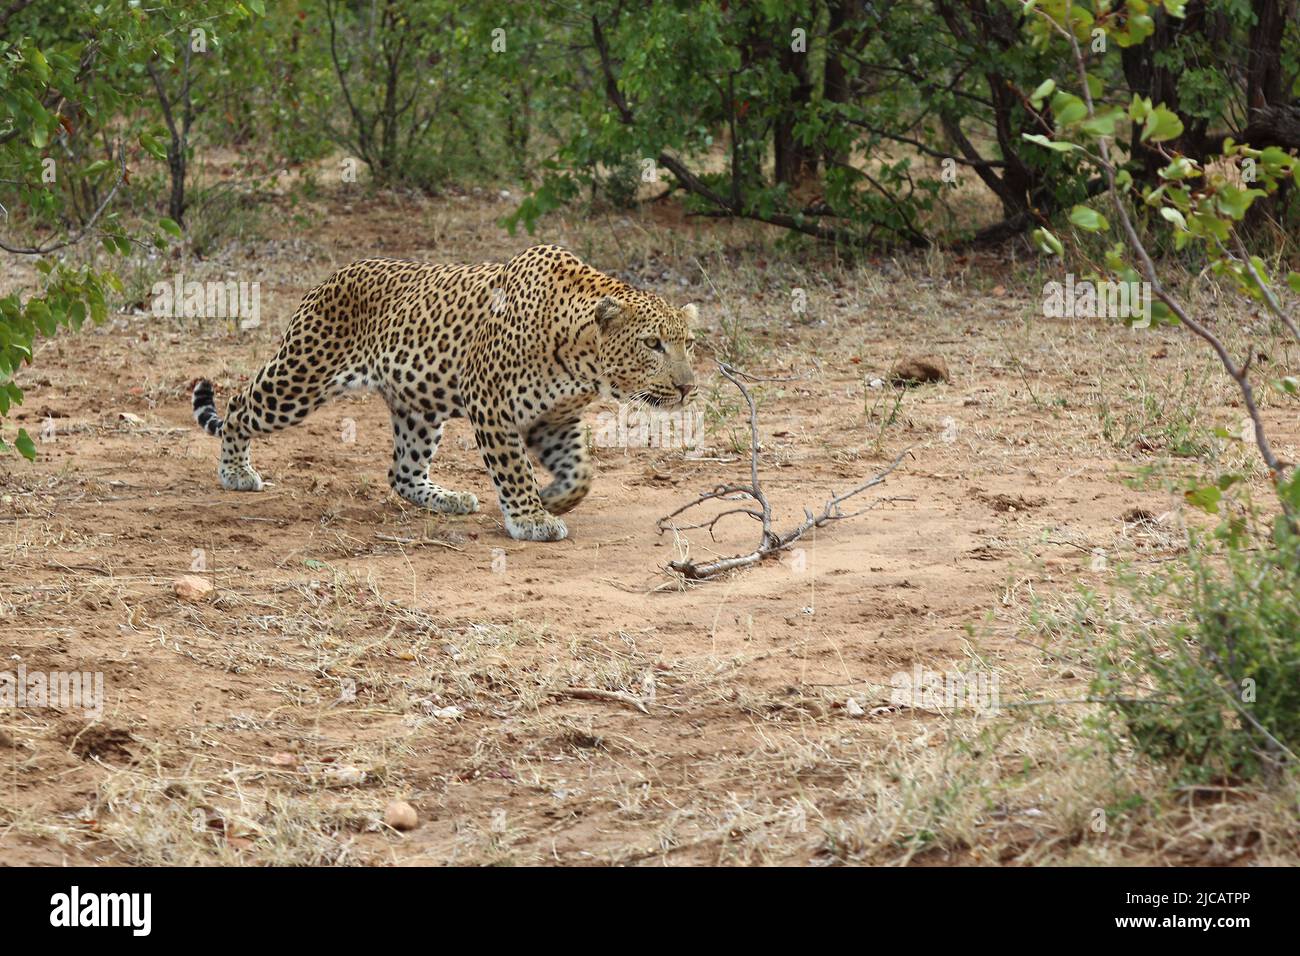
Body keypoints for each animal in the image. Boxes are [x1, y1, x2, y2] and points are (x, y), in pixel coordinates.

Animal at [191, 244, 697, 541]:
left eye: (689, 343)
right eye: (652, 344)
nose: (688, 386)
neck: (584, 361)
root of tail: (330, 277)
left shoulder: (554, 418)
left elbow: (581, 473)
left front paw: (552, 498)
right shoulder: (492, 404)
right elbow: (514, 469)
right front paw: (530, 517)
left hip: (418, 409)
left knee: (402, 472)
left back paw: (449, 499)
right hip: (298, 379)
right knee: (238, 406)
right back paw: (235, 472)